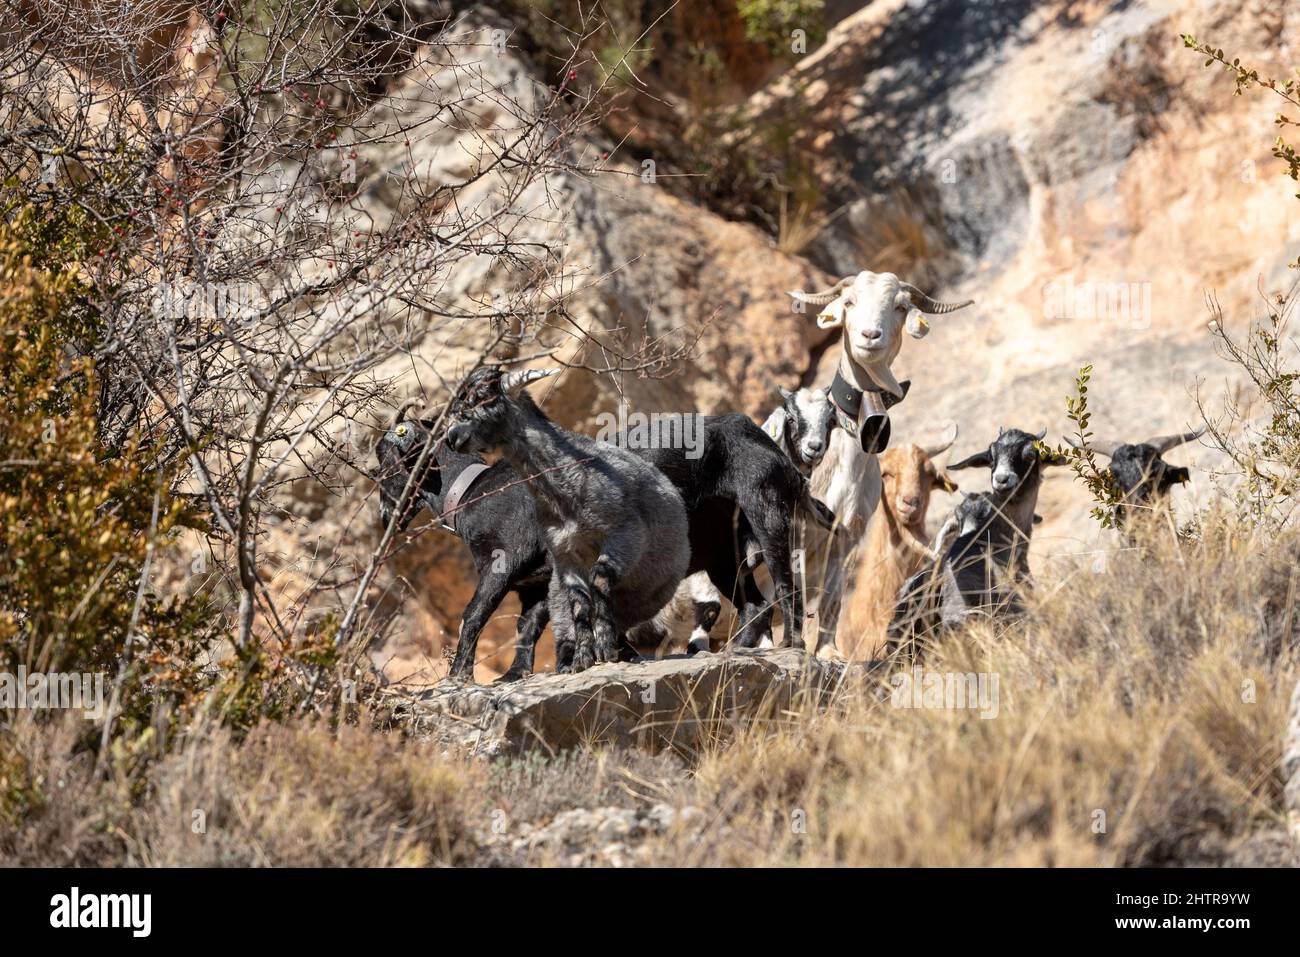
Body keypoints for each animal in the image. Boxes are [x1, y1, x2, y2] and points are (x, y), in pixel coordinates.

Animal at [374, 404, 550, 681]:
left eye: (383, 465)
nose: (384, 516)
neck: (474, 490)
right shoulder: (538, 581)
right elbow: (528, 623)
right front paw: (514, 674)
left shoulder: (505, 559)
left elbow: (473, 613)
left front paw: (459, 674)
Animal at [446, 367, 689, 673]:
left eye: (483, 397)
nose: (452, 437)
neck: (566, 494)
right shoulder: (565, 553)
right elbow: (578, 601)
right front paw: (582, 660)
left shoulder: (624, 534)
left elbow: (600, 580)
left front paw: (604, 647)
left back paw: (621, 648)